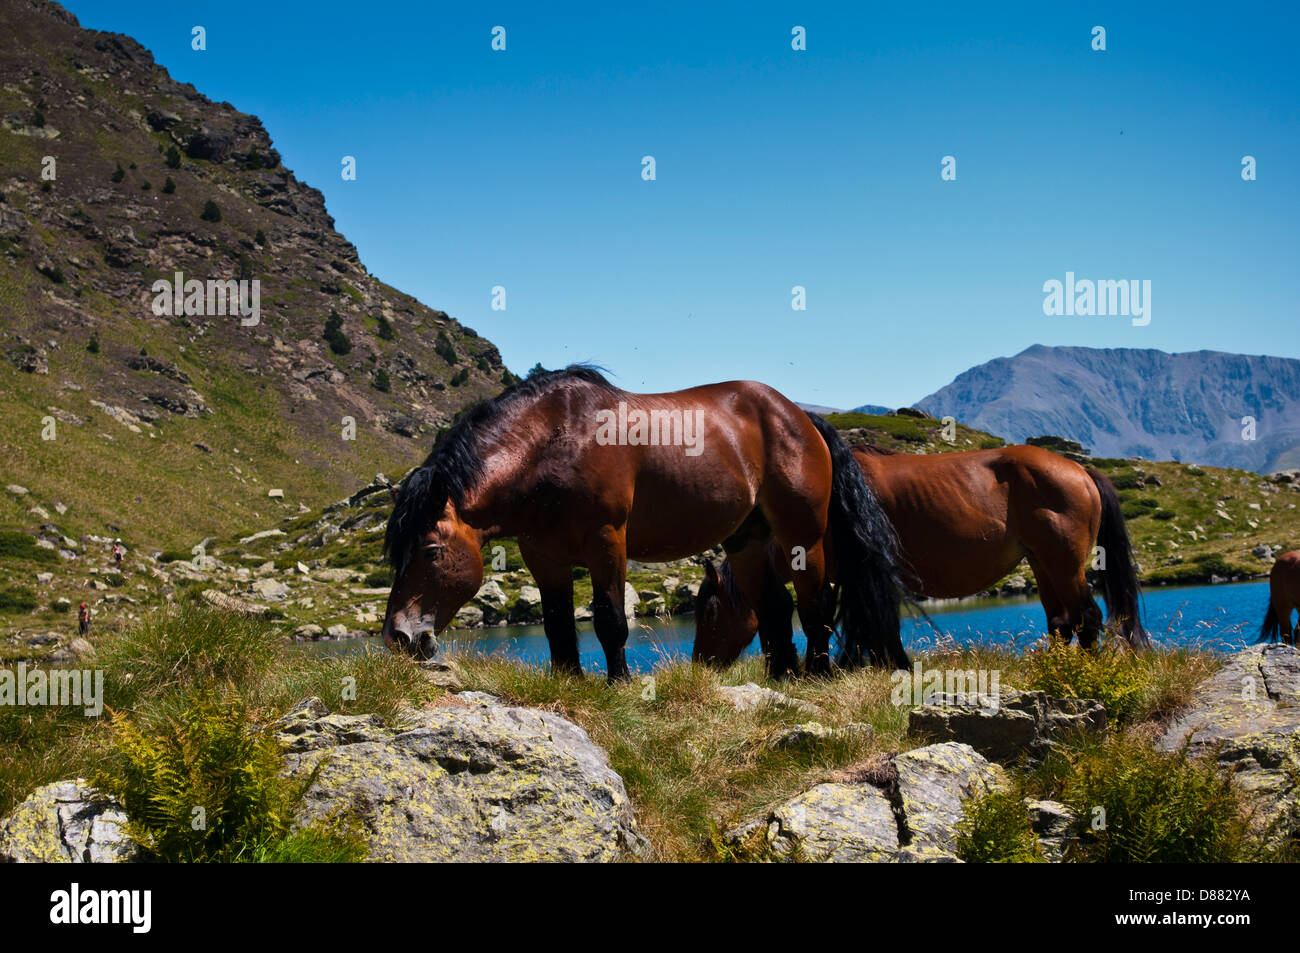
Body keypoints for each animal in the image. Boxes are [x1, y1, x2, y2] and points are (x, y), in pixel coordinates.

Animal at [381, 366, 910, 681]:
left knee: (814, 601)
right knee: (776, 609)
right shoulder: (542, 555)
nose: (400, 638)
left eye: (430, 551)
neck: (554, 443)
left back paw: (819, 674)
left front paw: (618, 683)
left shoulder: (606, 541)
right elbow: (557, 625)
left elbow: (610, 619)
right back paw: (782, 677)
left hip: (802, 535)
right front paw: (569, 681)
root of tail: (800, 416)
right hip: (747, 540)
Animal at [694, 443, 1149, 668]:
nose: (700, 663)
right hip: (1042, 564)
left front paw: (882, 664)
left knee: (1087, 617)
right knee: (1060, 622)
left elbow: (872, 625)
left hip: (1064, 563)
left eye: (709, 613)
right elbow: (873, 626)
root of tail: (1079, 470)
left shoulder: (864, 578)